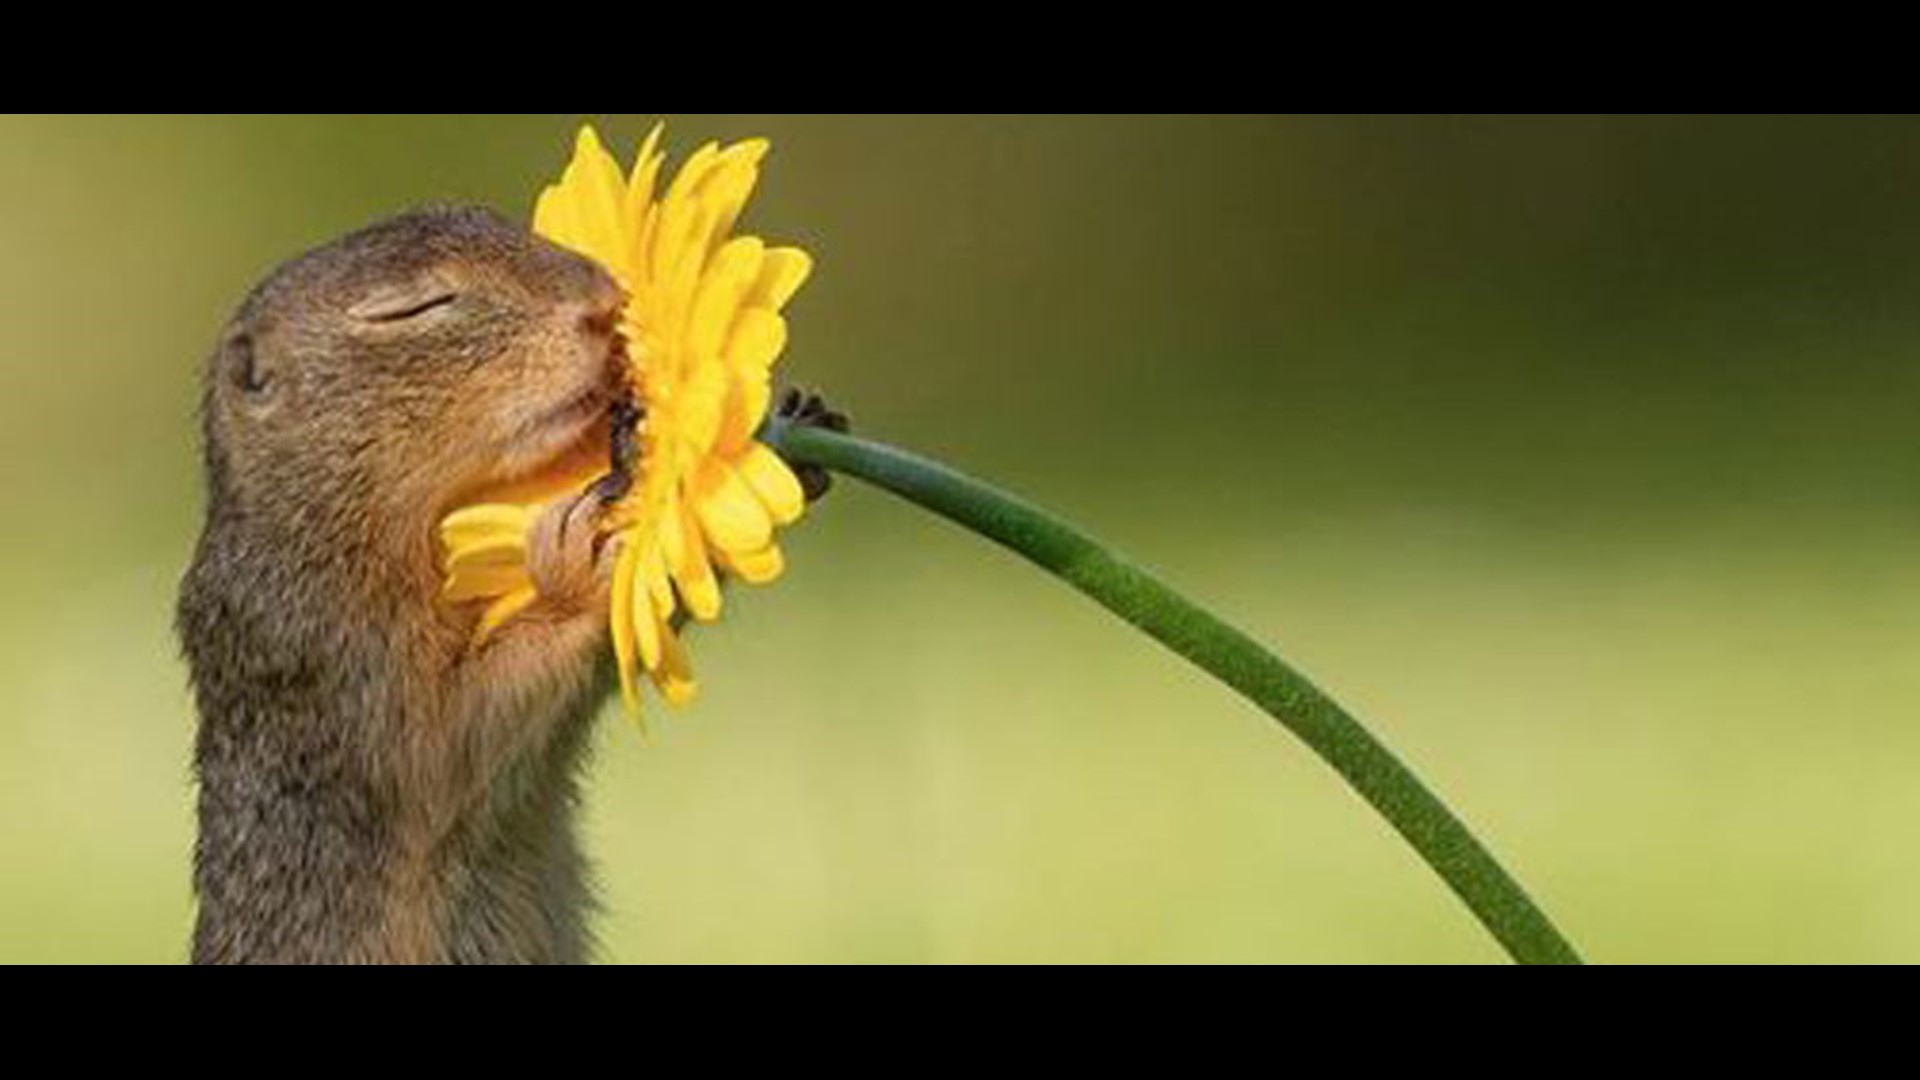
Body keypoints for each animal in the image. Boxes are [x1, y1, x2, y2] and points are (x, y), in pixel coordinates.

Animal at [176, 206, 846, 964]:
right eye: (415, 307)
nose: (602, 301)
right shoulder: (322, 649)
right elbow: (451, 734)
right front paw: (580, 565)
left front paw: (797, 429)